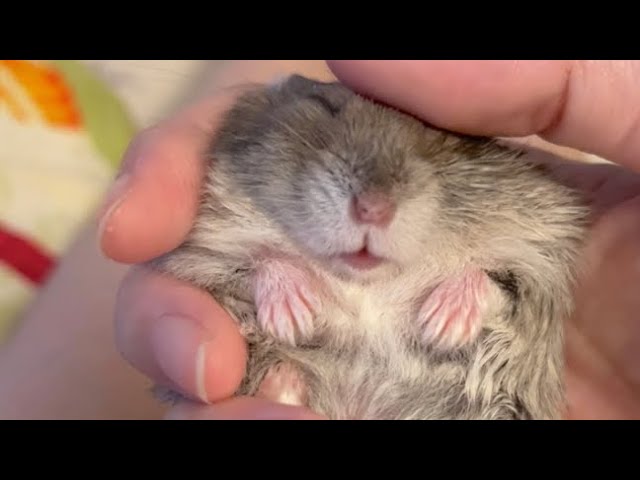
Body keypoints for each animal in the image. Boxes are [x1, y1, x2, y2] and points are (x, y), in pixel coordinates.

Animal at [148, 74, 590, 420]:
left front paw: (441, 325)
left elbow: (495, 281)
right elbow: (258, 262)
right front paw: (295, 318)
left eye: (437, 131)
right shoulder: (200, 256)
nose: (372, 209)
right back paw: (284, 384)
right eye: (324, 106)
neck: (366, 280)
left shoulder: (540, 261)